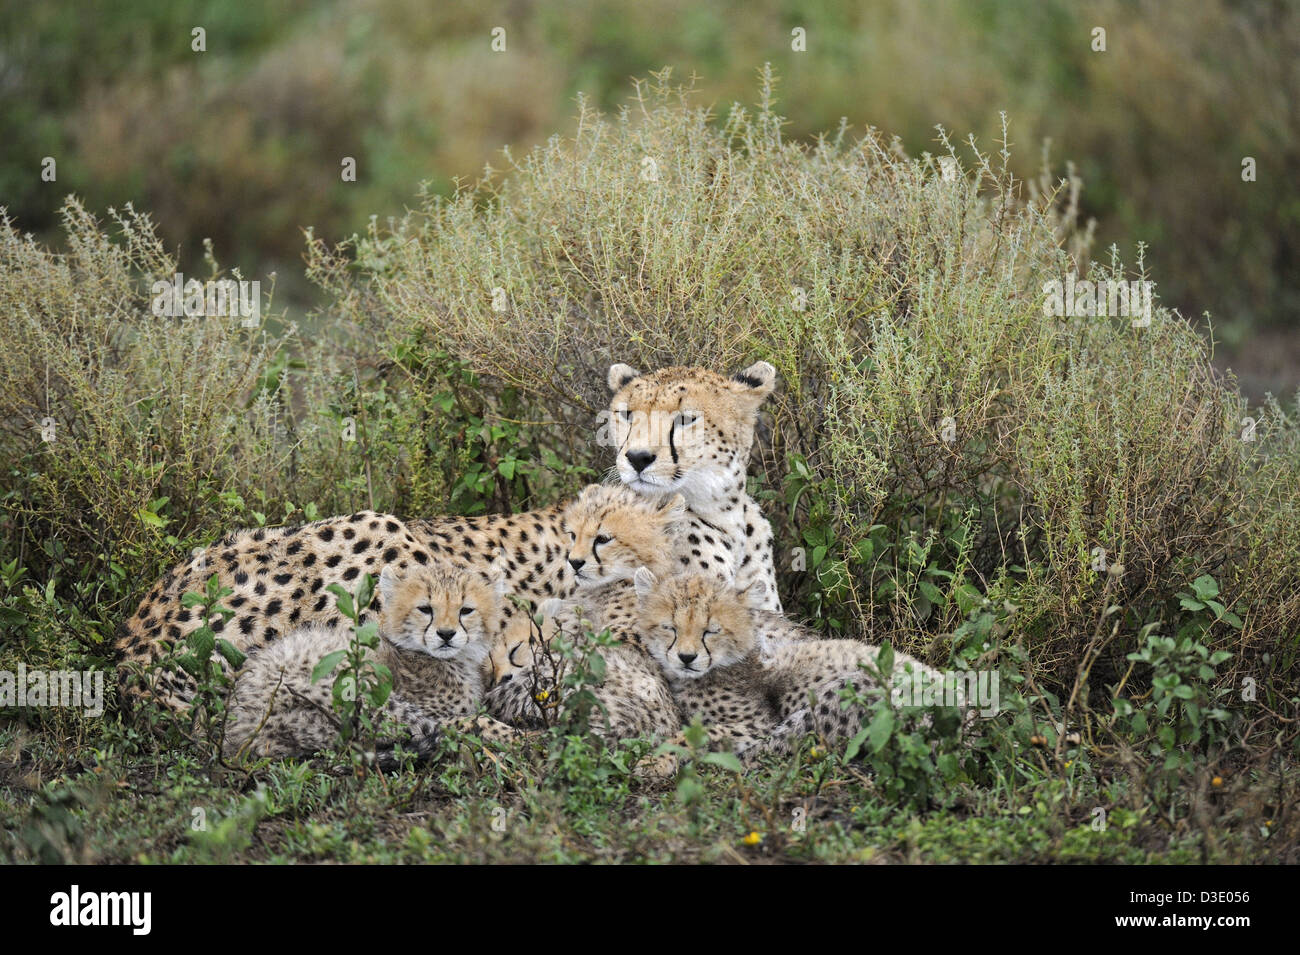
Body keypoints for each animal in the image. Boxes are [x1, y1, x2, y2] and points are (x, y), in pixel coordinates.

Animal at [223, 559, 519, 763]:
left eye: (466, 610)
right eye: (425, 609)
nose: (446, 634)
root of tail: (241, 725)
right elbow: (471, 720)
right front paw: (518, 737)